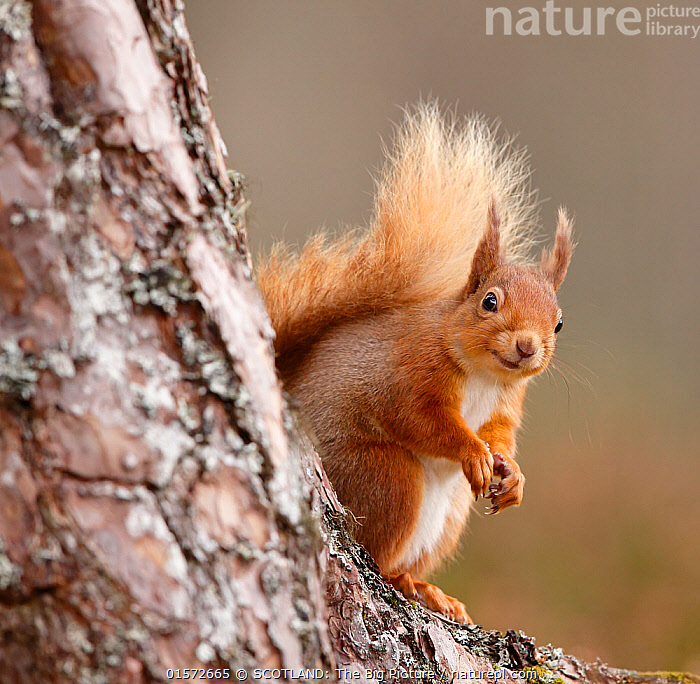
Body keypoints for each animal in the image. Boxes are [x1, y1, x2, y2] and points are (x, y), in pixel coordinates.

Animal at [257, 102, 574, 624]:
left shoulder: (508, 402)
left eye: (560, 323)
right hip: (386, 477)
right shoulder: (409, 371)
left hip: (451, 515)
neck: (484, 375)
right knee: (380, 554)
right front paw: (471, 452)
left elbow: (501, 434)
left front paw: (513, 475)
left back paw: (429, 589)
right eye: (489, 301)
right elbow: (421, 419)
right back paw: (399, 578)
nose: (528, 346)